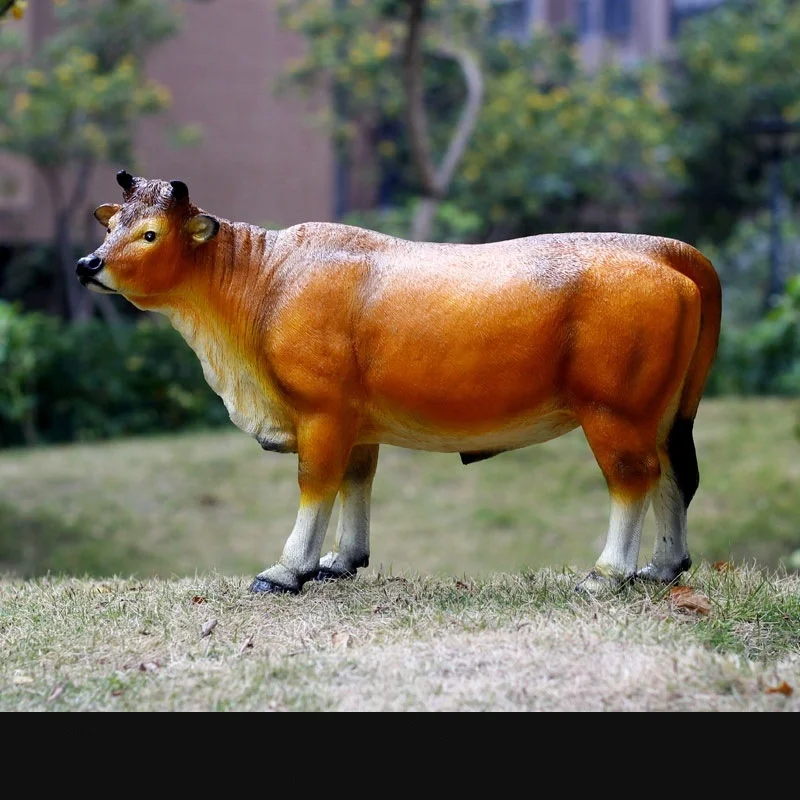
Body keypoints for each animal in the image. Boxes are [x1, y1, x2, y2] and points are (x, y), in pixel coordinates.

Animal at [76, 171, 722, 596]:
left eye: (151, 233)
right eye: (113, 225)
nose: (88, 264)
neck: (267, 279)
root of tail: (665, 249)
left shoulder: (322, 413)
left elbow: (316, 484)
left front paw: (288, 569)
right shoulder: (357, 423)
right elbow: (355, 482)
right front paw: (340, 559)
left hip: (614, 412)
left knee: (633, 480)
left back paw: (608, 573)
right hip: (661, 413)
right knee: (672, 477)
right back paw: (663, 568)